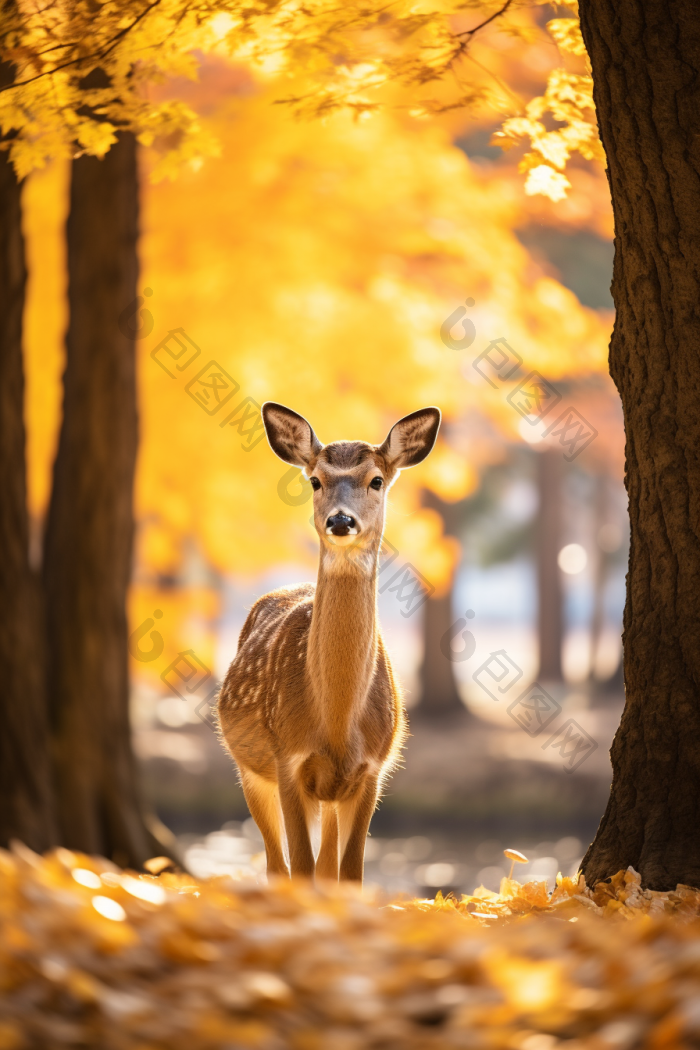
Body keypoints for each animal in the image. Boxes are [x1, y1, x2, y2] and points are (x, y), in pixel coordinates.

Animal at [217, 402, 441, 882]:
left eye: (376, 480)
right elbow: (299, 869)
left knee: (324, 868)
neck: (335, 726)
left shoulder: (371, 772)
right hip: (249, 771)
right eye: (315, 480)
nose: (340, 520)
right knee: (277, 865)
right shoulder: (287, 760)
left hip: (330, 796)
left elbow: (349, 875)